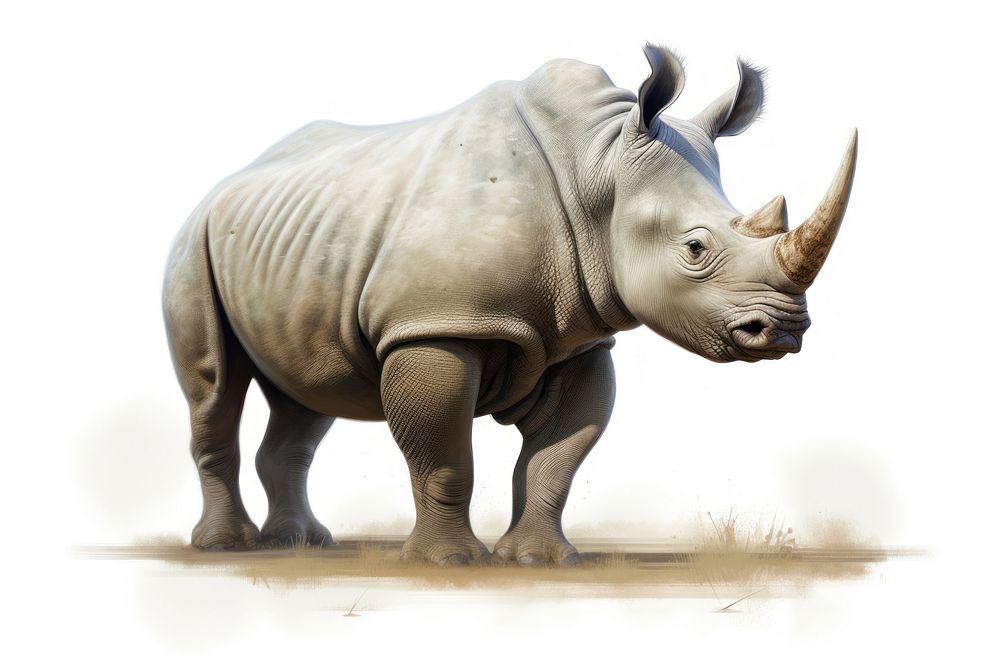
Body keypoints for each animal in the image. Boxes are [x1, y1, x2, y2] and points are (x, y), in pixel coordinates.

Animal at [163, 44, 856, 564]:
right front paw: (450, 562)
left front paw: (540, 560)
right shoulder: (433, 325)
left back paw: (303, 544)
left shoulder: (580, 338)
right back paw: (227, 548)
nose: (782, 332)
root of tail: (226, 181)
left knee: (305, 393)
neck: (597, 167)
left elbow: (558, 457)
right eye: (694, 247)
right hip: (192, 246)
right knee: (214, 387)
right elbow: (445, 455)